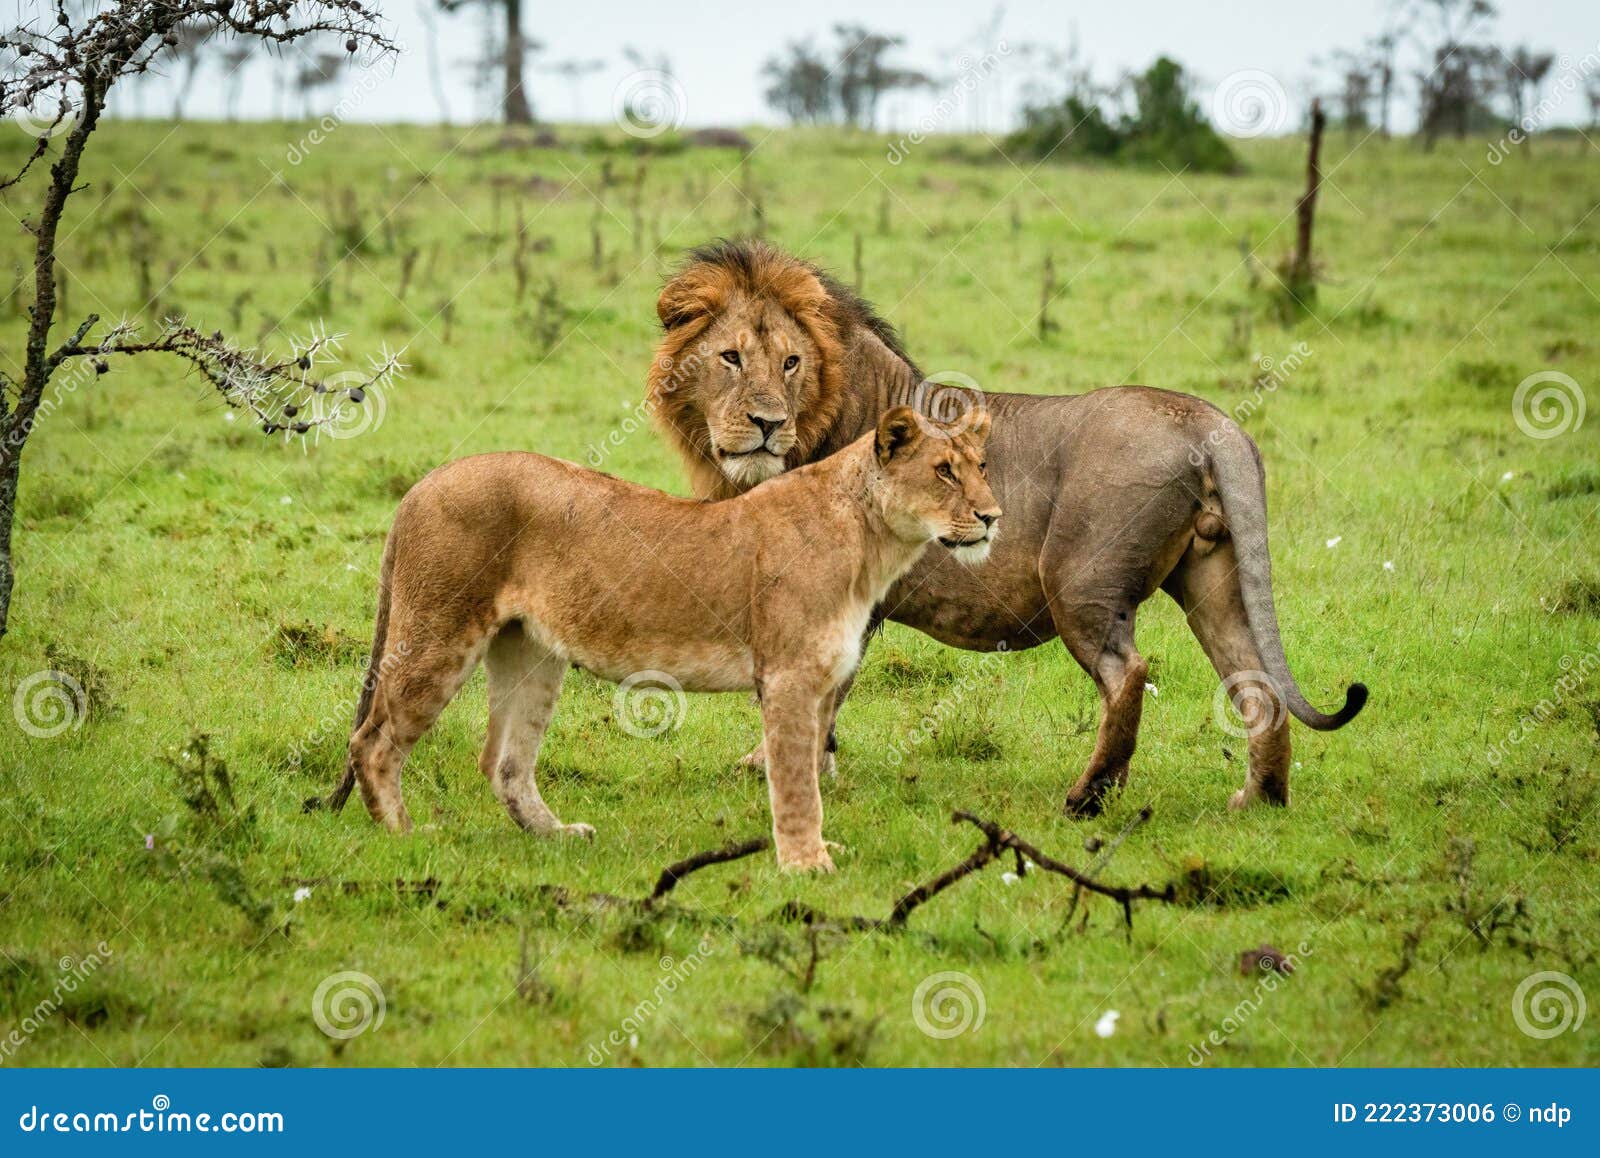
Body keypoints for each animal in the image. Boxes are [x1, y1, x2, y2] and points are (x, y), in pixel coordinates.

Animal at [312, 407, 998, 871]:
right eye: (943, 472)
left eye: (982, 468)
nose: (992, 516)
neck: (875, 545)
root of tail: (422, 485)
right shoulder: (788, 676)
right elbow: (795, 782)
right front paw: (807, 865)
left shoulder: (821, 680)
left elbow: (807, 770)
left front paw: (817, 850)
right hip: (440, 633)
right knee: (372, 740)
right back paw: (404, 836)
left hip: (530, 653)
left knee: (504, 762)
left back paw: (556, 836)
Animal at [646, 239, 1366, 813]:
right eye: (731, 358)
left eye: (791, 362)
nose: (767, 423)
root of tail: (1212, 424)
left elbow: (811, 689)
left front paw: (773, 768)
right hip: (1214, 578)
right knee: (1257, 685)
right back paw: (1260, 800)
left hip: (1080, 579)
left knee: (1128, 674)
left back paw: (1089, 797)